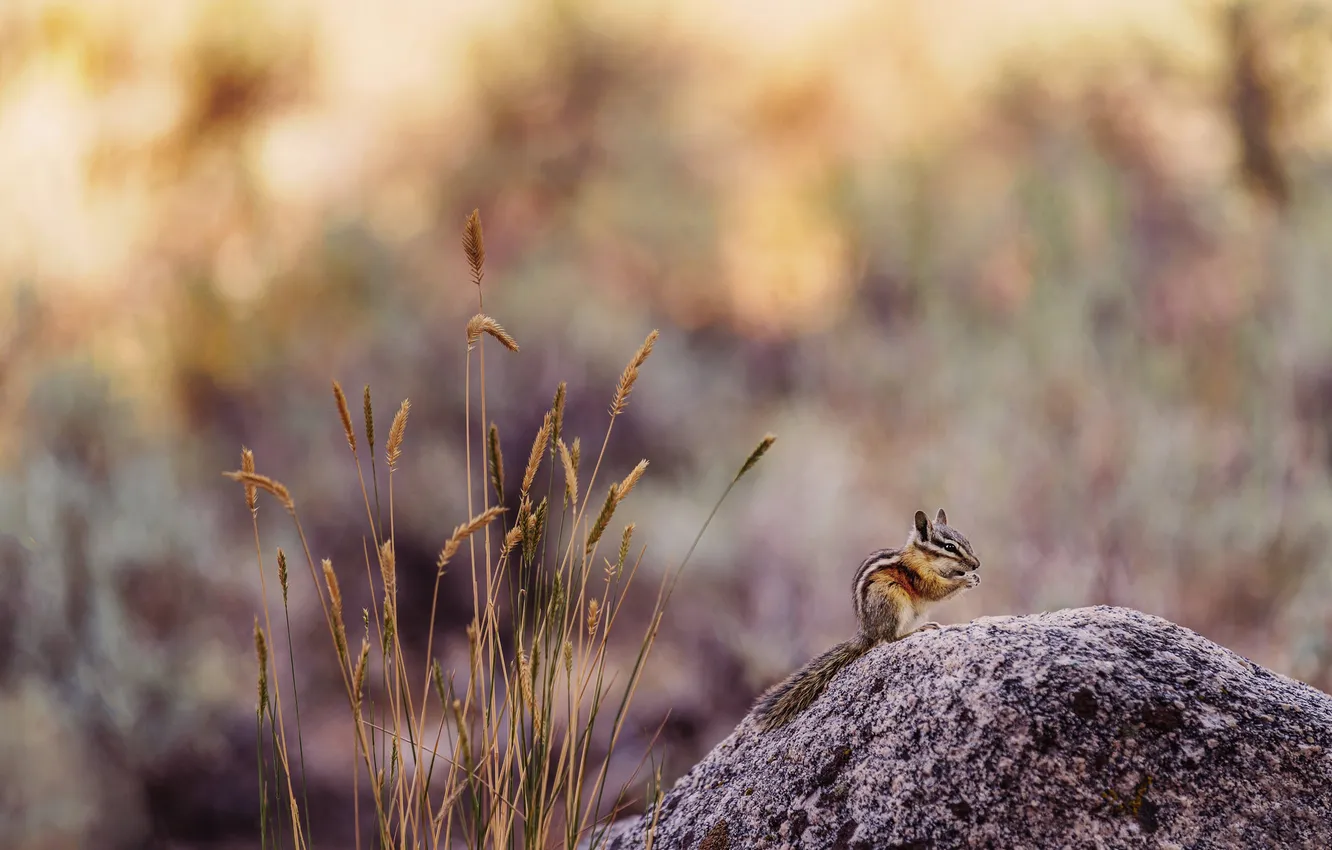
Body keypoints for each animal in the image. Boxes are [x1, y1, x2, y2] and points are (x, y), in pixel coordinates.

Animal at [752, 508, 982, 731]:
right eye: (949, 547)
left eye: (967, 541)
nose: (976, 564)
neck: (922, 557)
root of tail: (866, 631)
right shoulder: (920, 575)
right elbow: (937, 590)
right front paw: (965, 580)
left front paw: (972, 577)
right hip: (892, 598)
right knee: (890, 637)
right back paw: (918, 630)